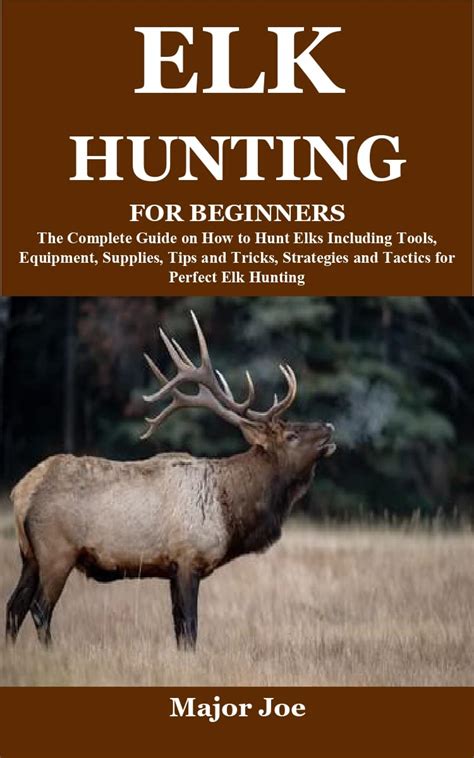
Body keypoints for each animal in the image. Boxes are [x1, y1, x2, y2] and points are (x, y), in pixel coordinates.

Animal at [6, 312, 336, 649]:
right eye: (292, 434)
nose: (329, 427)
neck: (232, 509)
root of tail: (22, 492)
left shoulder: (173, 569)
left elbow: (179, 629)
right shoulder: (189, 558)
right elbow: (190, 627)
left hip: (29, 556)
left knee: (14, 606)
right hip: (56, 551)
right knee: (40, 608)